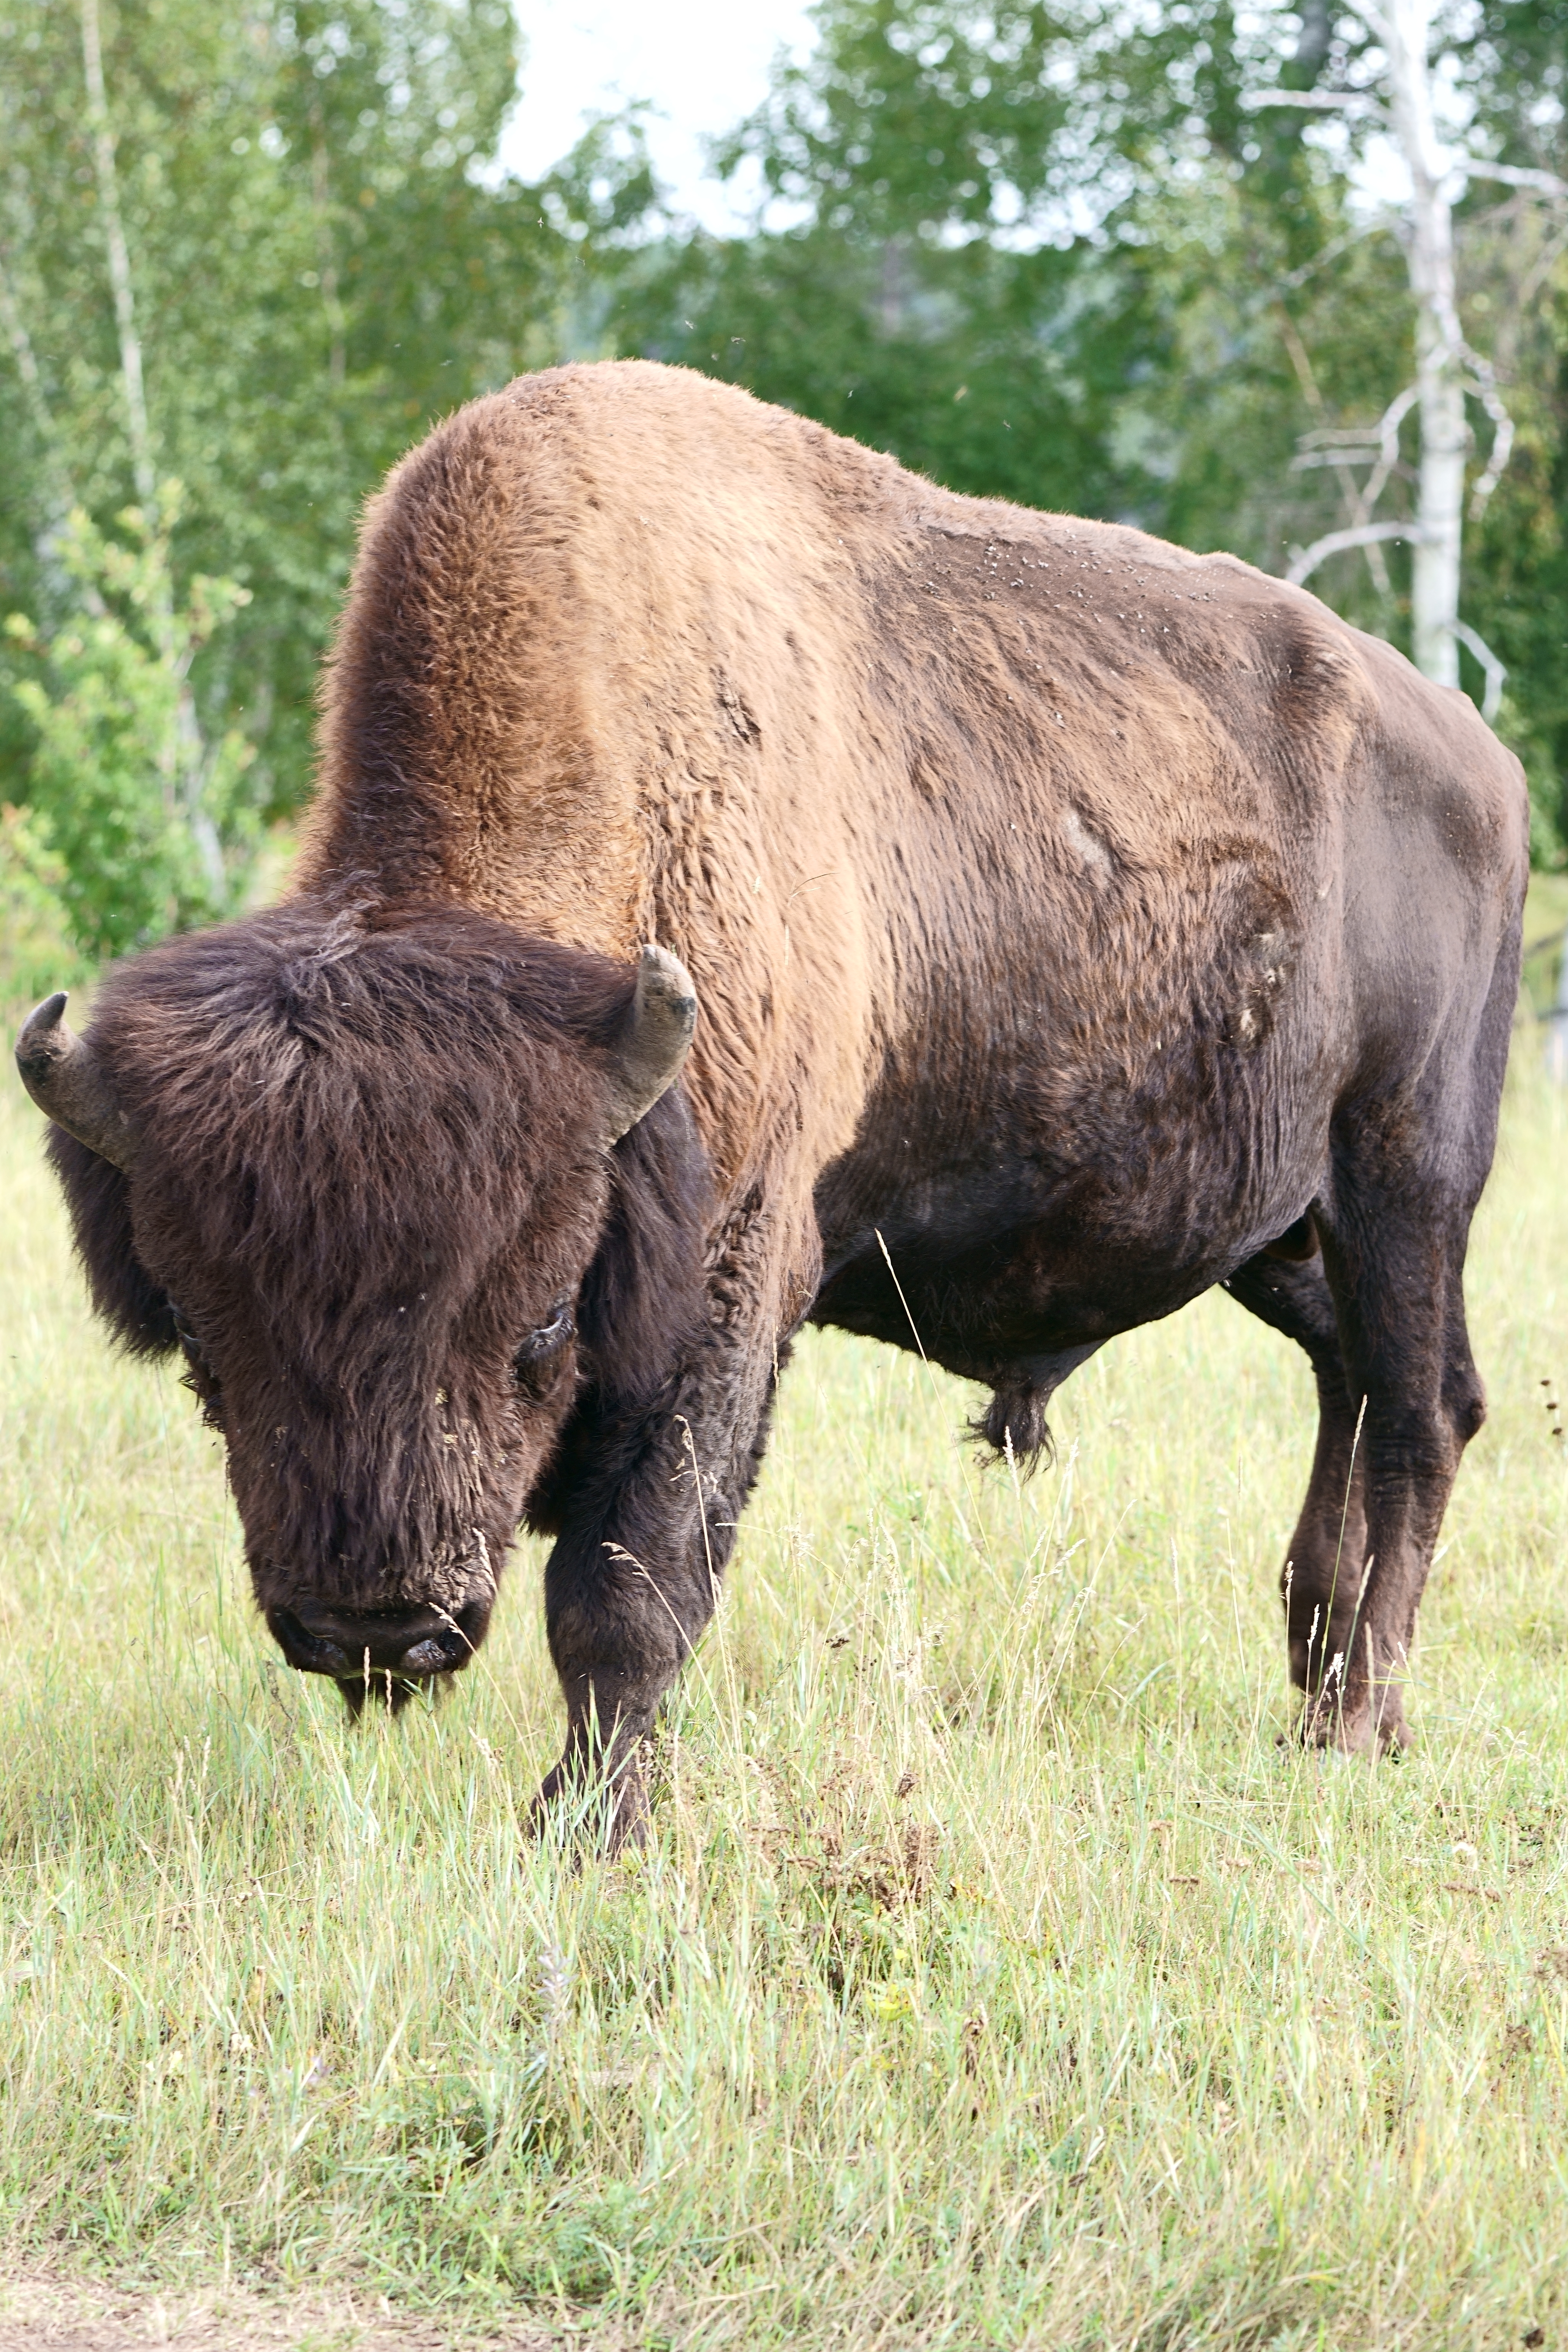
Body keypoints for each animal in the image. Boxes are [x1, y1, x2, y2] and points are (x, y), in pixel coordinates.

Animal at [18, 362, 1523, 1835]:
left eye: (540, 1327)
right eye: (205, 1356)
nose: (376, 1626)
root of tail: (1482, 762)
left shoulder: (734, 1272)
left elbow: (627, 1589)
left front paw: (588, 1830)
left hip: (1407, 1175)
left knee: (1421, 1416)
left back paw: (1355, 1728)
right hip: (1273, 1230)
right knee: (1354, 1383)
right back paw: (1319, 1696)